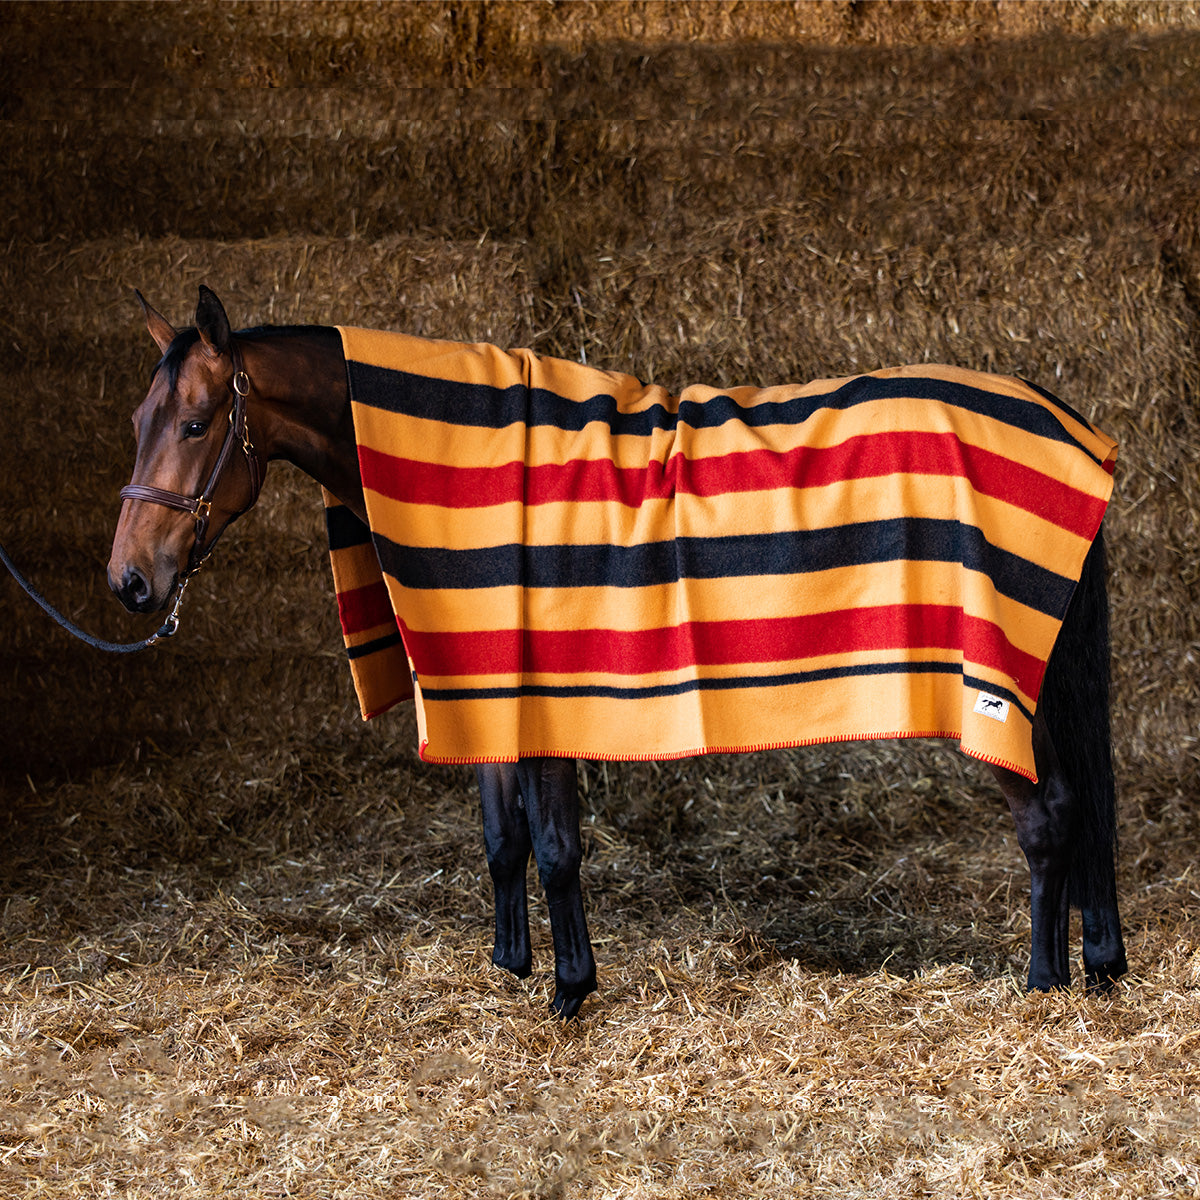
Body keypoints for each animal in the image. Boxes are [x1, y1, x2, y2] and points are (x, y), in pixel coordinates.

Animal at [108, 286, 1127, 1019]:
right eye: (137, 424)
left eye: (195, 424)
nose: (131, 583)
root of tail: (1061, 420)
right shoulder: (485, 680)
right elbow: (503, 839)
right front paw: (510, 968)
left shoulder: (550, 694)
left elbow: (558, 847)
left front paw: (571, 991)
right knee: (1085, 813)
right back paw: (1098, 964)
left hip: (992, 686)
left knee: (1049, 818)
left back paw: (1042, 985)